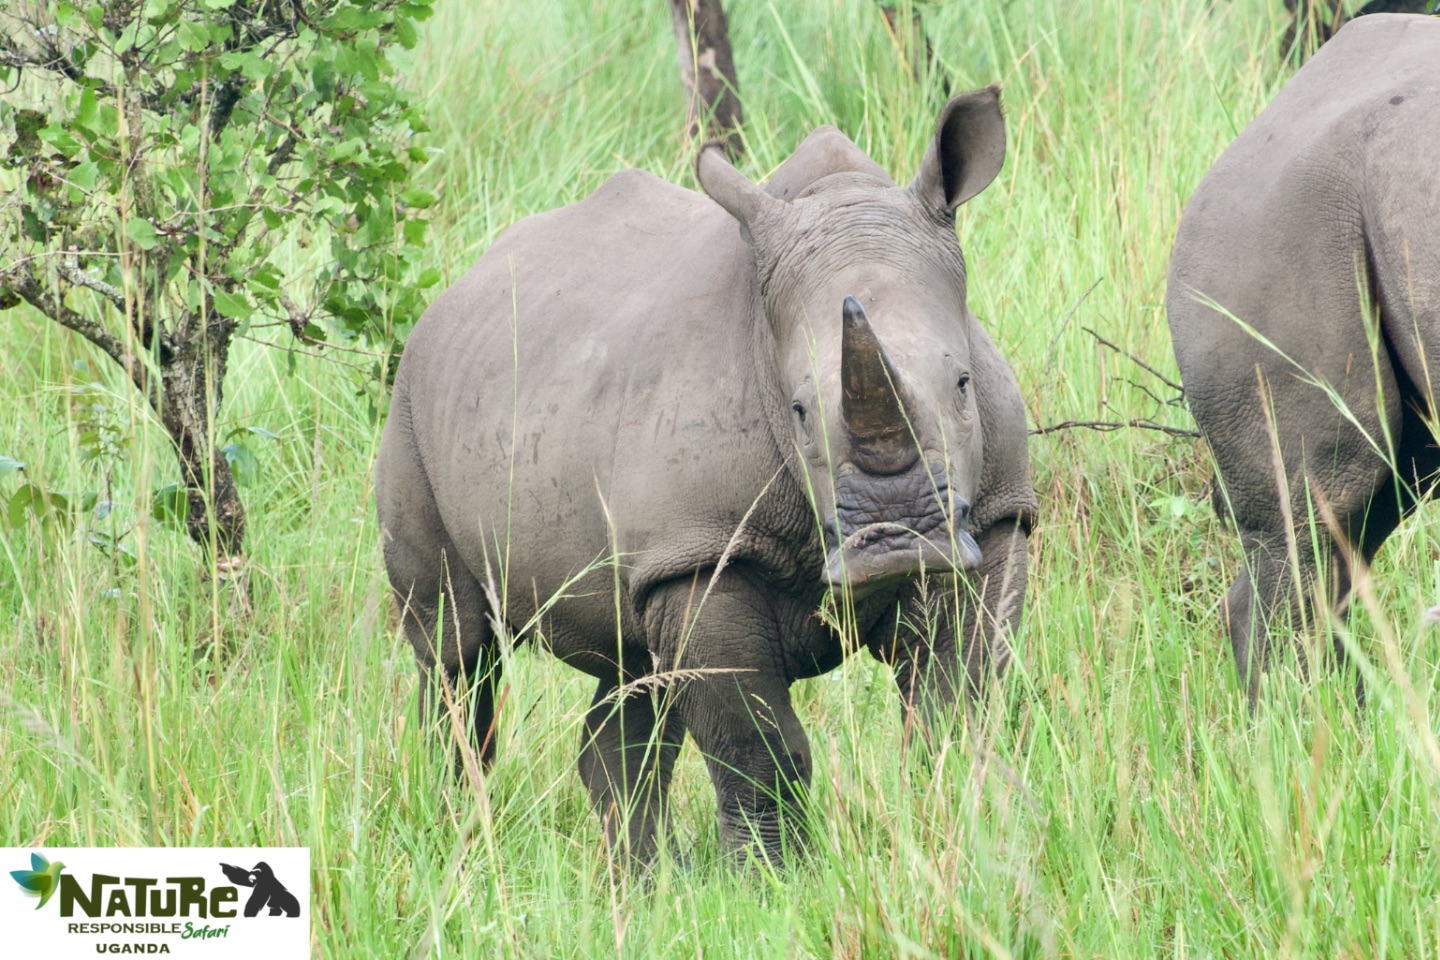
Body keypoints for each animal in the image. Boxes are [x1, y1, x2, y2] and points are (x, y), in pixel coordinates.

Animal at [375, 86, 1036, 867]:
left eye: (963, 384)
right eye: (799, 412)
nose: (900, 543)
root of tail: (454, 289)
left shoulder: (996, 517)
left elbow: (956, 712)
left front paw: (969, 841)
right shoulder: (699, 551)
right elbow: (757, 748)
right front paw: (774, 882)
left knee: (629, 670)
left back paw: (637, 882)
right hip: (410, 408)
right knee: (456, 651)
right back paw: (460, 832)